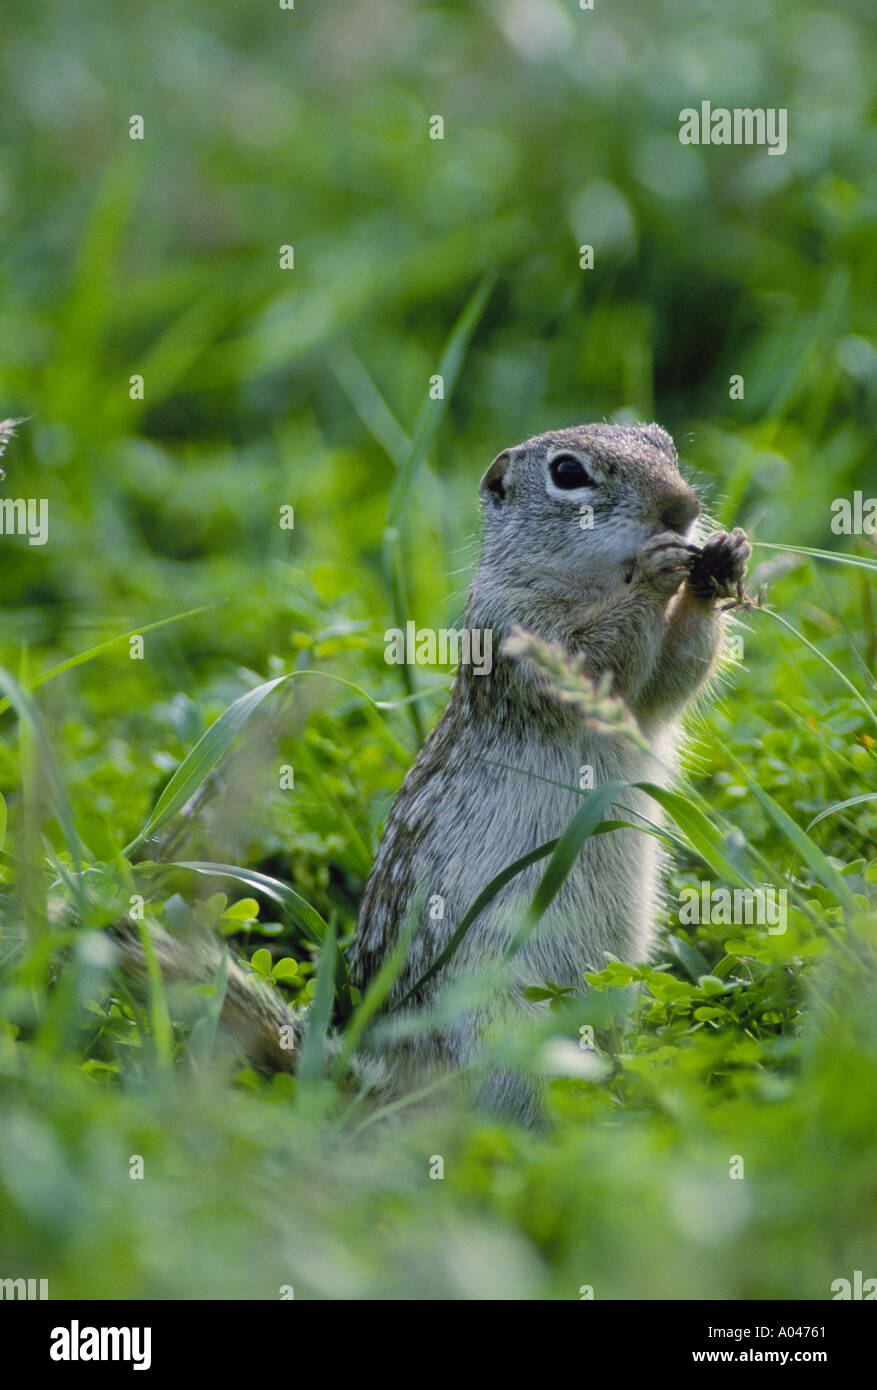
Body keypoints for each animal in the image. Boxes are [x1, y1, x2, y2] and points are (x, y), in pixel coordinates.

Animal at [113, 422, 751, 1123]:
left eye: (664, 443)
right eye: (568, 473)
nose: (682, 508)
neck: (589, 583)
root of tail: (386, 1082)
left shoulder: (649, 700)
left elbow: (676, 673)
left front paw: (724, 560)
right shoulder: (517, 639)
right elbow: (597, 659)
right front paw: (661, 570)